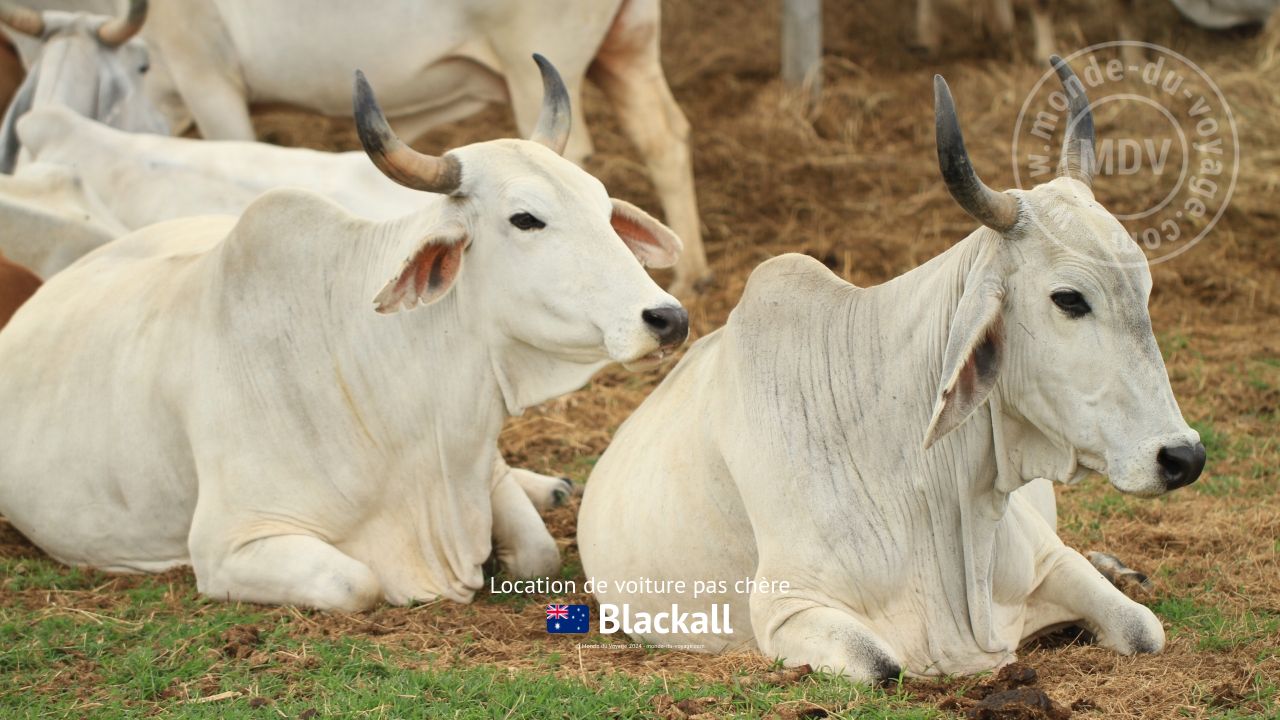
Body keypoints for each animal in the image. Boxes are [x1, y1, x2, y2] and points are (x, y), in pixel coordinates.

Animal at [0, 56, 691, 607]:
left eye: (603, 206)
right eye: (526, 219)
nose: (669, 318)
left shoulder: (477, 467)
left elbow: (539, 551)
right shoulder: (230, 543)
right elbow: (356, 582)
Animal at [576, 57, 1203, 676]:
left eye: (1145, 288)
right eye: (1069, 299)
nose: (1184, 457)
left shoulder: (1050, 559)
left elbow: (1143, 629)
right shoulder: (788, 608)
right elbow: (883, 665)